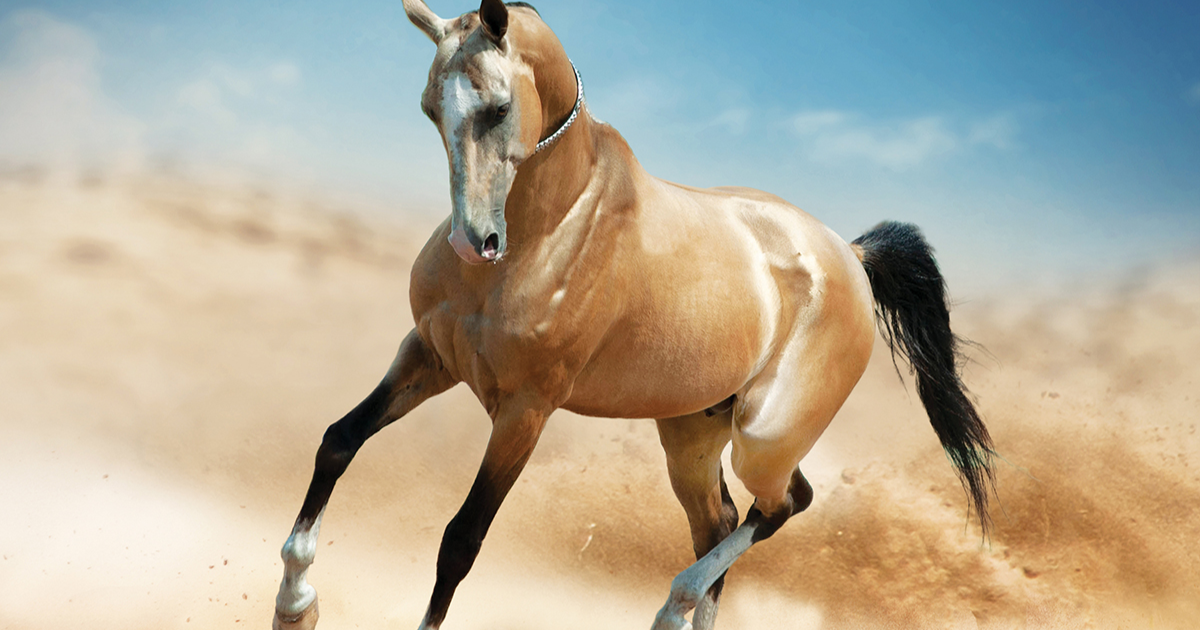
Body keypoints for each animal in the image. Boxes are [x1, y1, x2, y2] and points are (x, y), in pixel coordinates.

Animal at [272, 2, 996, 629]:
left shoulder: (526, 409)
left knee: (783, 504)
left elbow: (462, 539)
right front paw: (295, 604)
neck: (552, 227)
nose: (473, 243)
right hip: (691, 434)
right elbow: (338, 441)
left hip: (765, 436)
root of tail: (850, 253)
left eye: (498, 107)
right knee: (720, 520)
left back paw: (673, 604)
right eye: (428, 109)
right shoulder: (428, 357)